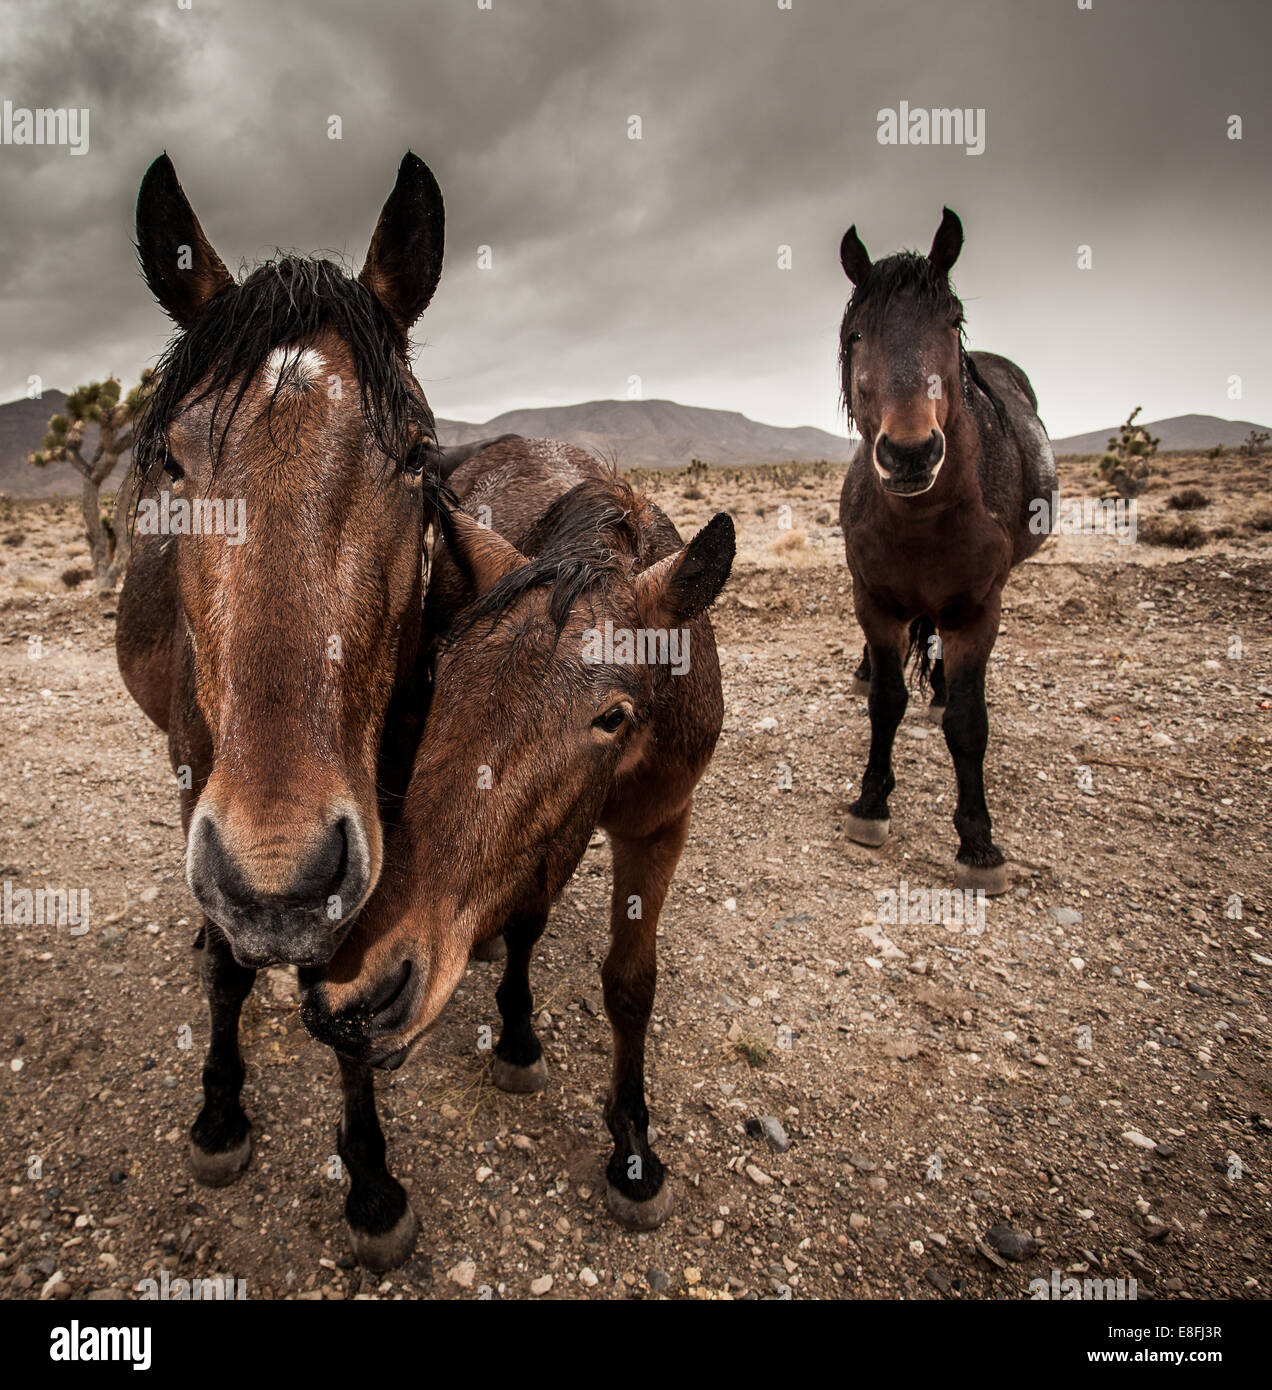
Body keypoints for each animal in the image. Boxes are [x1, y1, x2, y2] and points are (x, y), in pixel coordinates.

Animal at [117, 151, 462, 1193]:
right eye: (170, 463)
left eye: (420, 458)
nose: (277, 881)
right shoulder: (200, 776)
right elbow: (230, 975)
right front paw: (220, 1113)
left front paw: (373, 1181)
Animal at [300, 439, 735, 1269]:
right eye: (442, 671)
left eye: (611, 714)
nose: (359, 991)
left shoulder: (660, 824)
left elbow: (630, 984)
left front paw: (634, 1152)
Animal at [836, 208, 1056, 894]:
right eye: (857, 333)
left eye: (951, 322)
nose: (909, 453)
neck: (922, 519)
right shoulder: (874, 601)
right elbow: (885, 701)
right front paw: (870, 804)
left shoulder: (978, 609)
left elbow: (968, 721)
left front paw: (978, 842)